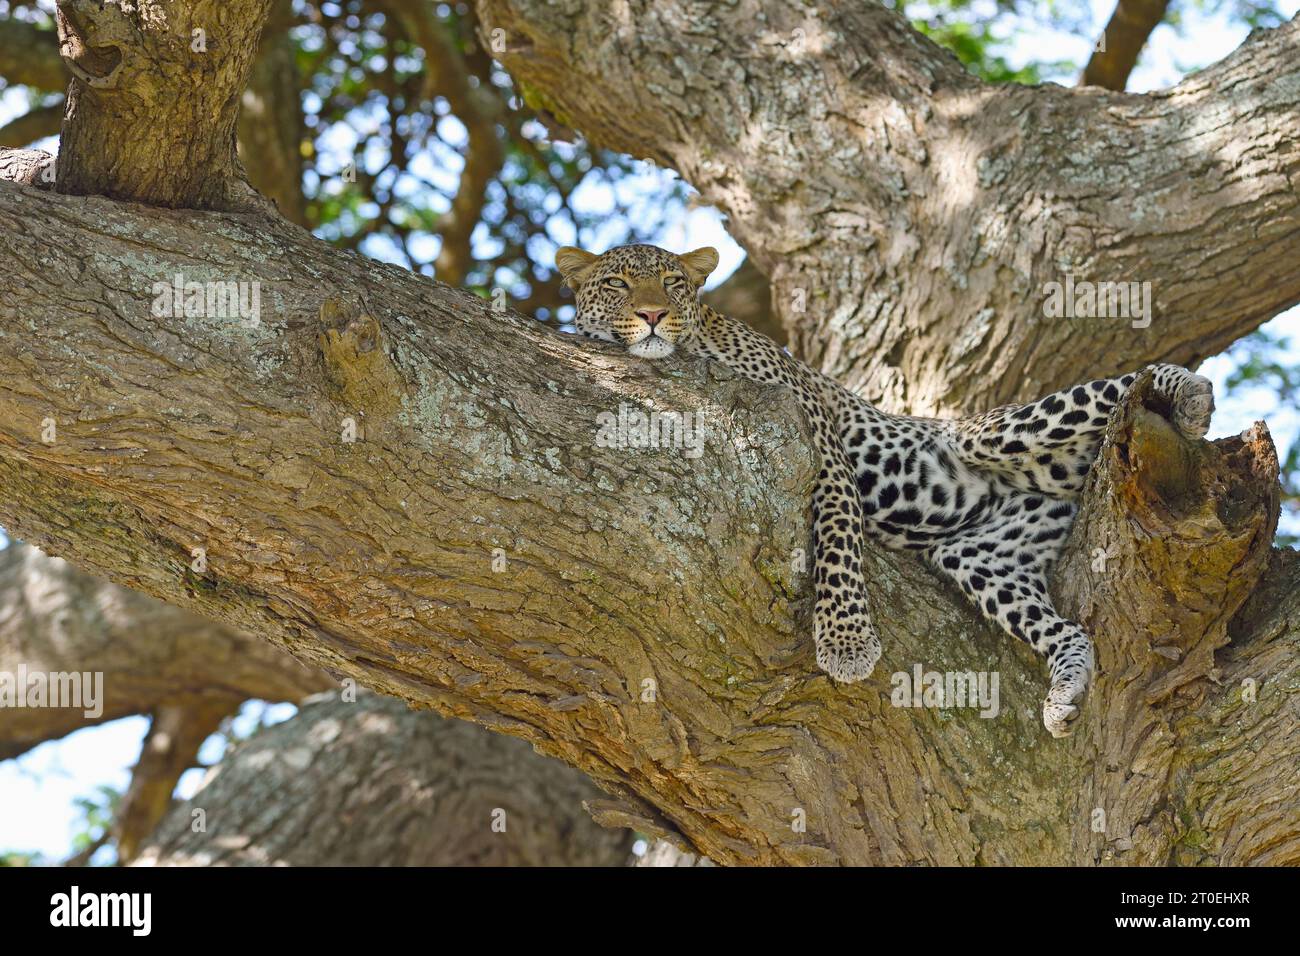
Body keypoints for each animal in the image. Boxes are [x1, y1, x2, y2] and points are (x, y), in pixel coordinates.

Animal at [554, 243, 1215, 737]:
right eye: (616, 283)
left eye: (673, 284)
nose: (652, 316)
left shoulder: (821, 445)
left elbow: (838, 543)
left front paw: (846, 643)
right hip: (981, 554)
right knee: (1070, 629)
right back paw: (1065, 691)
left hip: (987, 434)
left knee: (1129, 383)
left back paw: (1189, 394)